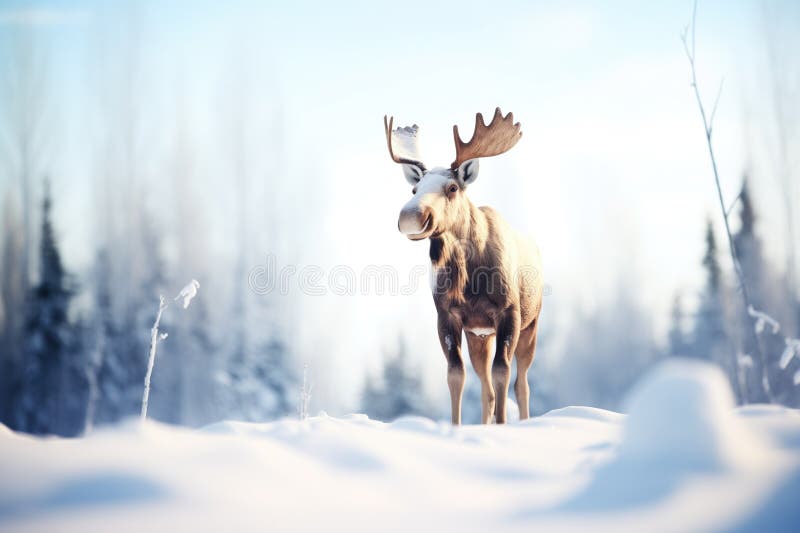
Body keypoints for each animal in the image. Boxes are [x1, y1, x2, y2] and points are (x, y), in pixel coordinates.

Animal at [384, 108, 543, 425]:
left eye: (452, 187)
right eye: (414, 188)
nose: (410, 216)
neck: (470, 279)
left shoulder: (510, 313)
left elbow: (503, 372)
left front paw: (503, 426)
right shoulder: (448, 316)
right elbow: (456, 375)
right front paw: (455, 426)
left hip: (532, 324)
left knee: (522, 383)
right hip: (480, 336)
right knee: (486, 390)